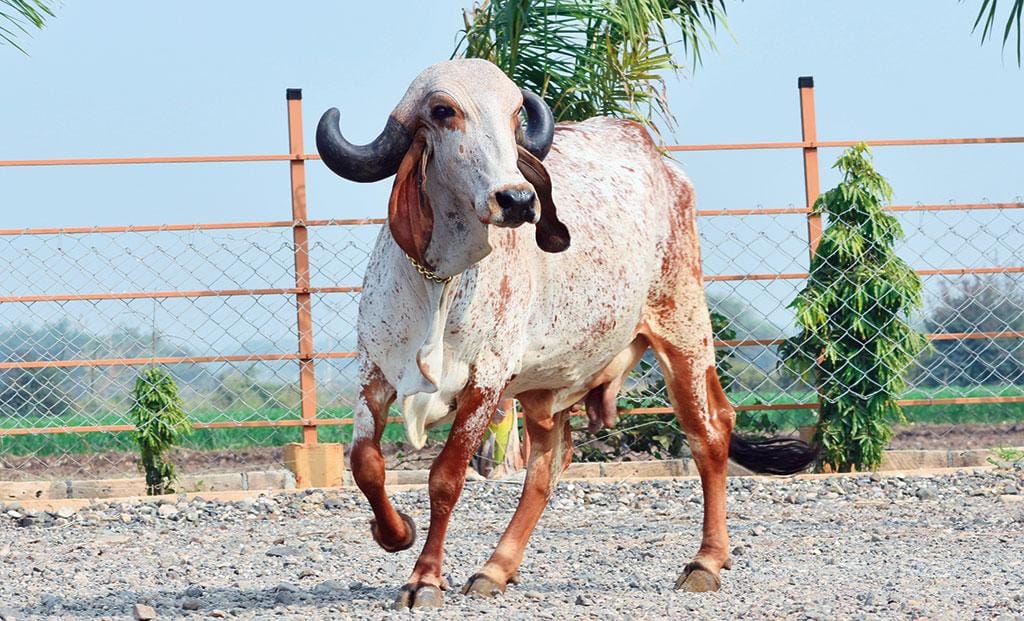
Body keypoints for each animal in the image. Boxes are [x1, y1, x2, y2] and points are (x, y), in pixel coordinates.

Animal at [316, 58, 817, 609]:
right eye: (444, 111)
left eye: (516, 114)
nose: (517, 200)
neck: (439, 279)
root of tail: (659, 162)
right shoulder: (375, 373)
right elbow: (365, 464)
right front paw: (396, 532)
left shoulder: (485, 383)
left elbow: (445, 478)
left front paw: (425, 578)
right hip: (546, 386)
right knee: (547, 466)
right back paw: (495, 569)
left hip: (683, 330)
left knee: (709, 434)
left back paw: (706, 561)